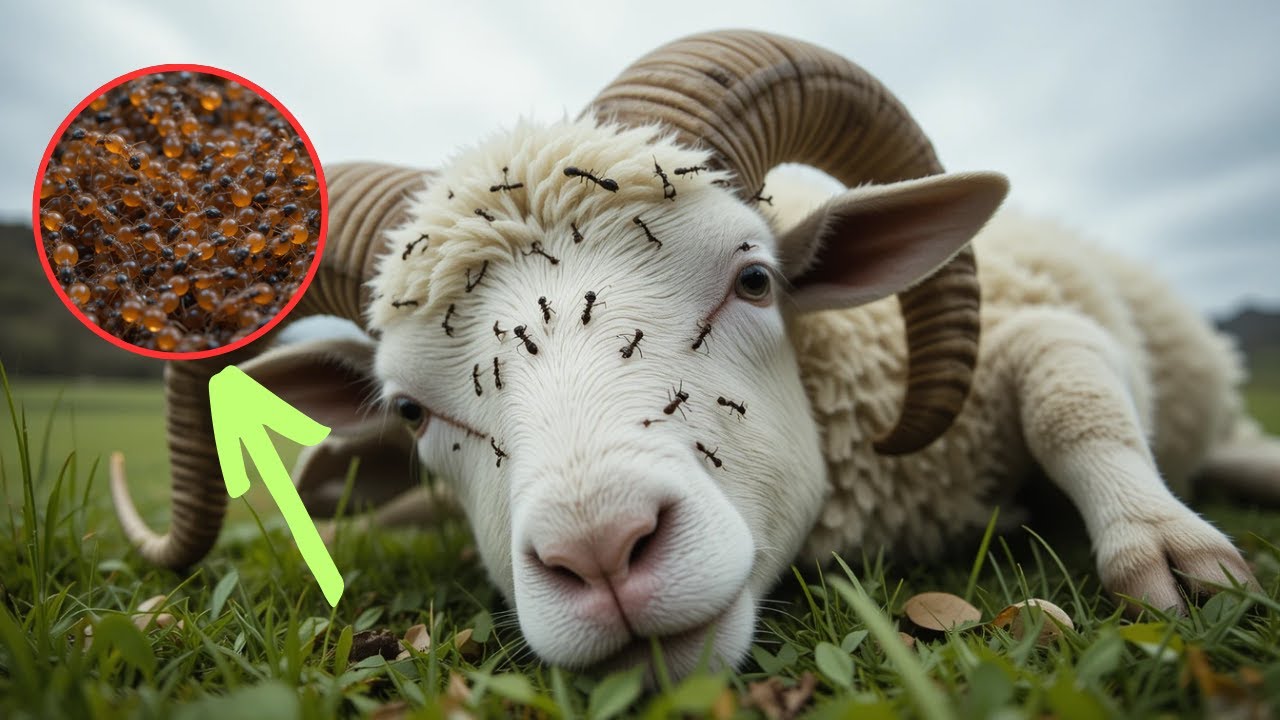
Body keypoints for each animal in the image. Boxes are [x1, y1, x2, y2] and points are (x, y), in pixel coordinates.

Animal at [110, 30, 1278, 680]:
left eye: (754, 280)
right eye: (408, 412)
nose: (600, 555)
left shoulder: (1036, 333)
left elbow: (1070, 389)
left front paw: (1164, 548)